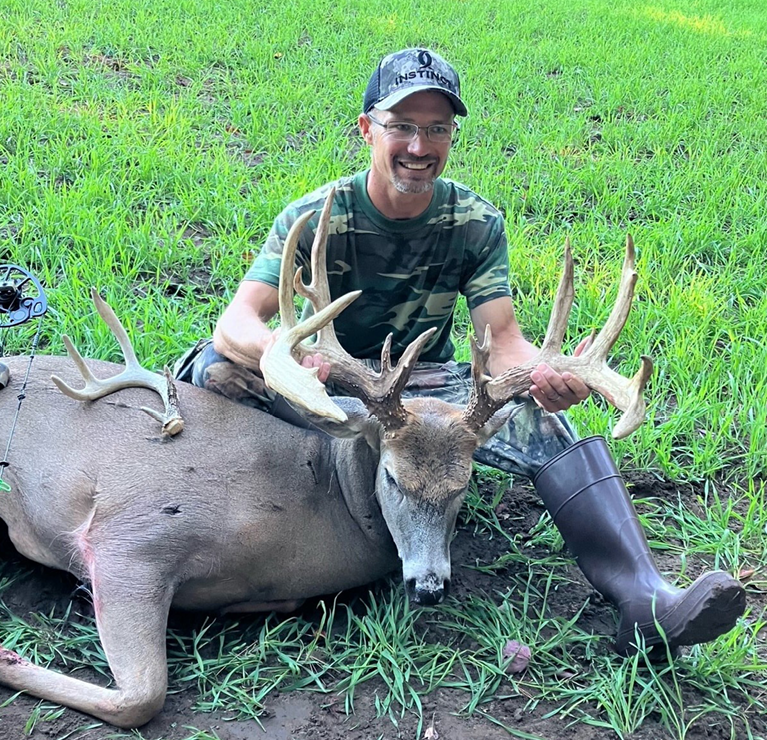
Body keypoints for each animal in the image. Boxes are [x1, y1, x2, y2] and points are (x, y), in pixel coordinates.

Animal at [0, 191, 652, 728]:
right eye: (391, 474)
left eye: (464, 483)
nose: (430, 587)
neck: (319, 495)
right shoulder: (133, 537)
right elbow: (142, 696)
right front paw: (8, 658)